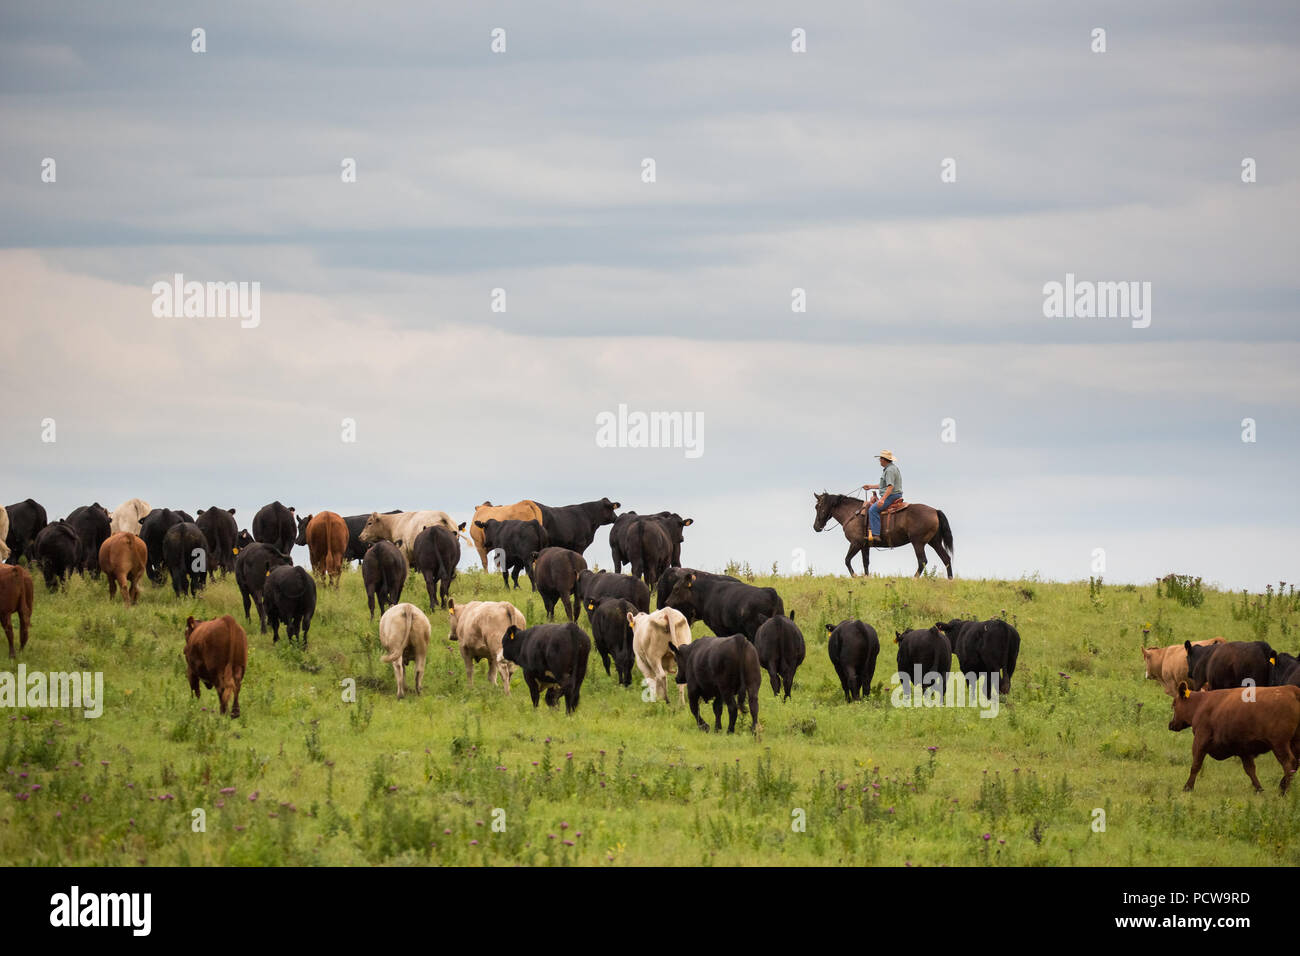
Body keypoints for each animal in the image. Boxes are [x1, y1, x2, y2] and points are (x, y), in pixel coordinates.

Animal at [1169, 681, 1300, 793]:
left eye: (1174, 704)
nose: (1171, 724)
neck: (1200, 703)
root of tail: (1291, 689)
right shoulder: (1244, 749)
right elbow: (1250, 770)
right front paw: (1259, 789)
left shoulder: (1200, 740)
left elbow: (1196, 765)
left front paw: (1188, 787)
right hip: (1293, 743)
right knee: (1295, 764)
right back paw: (1282, 785)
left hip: (1279, 744)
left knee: (1289, 763)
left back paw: (1283, 791)